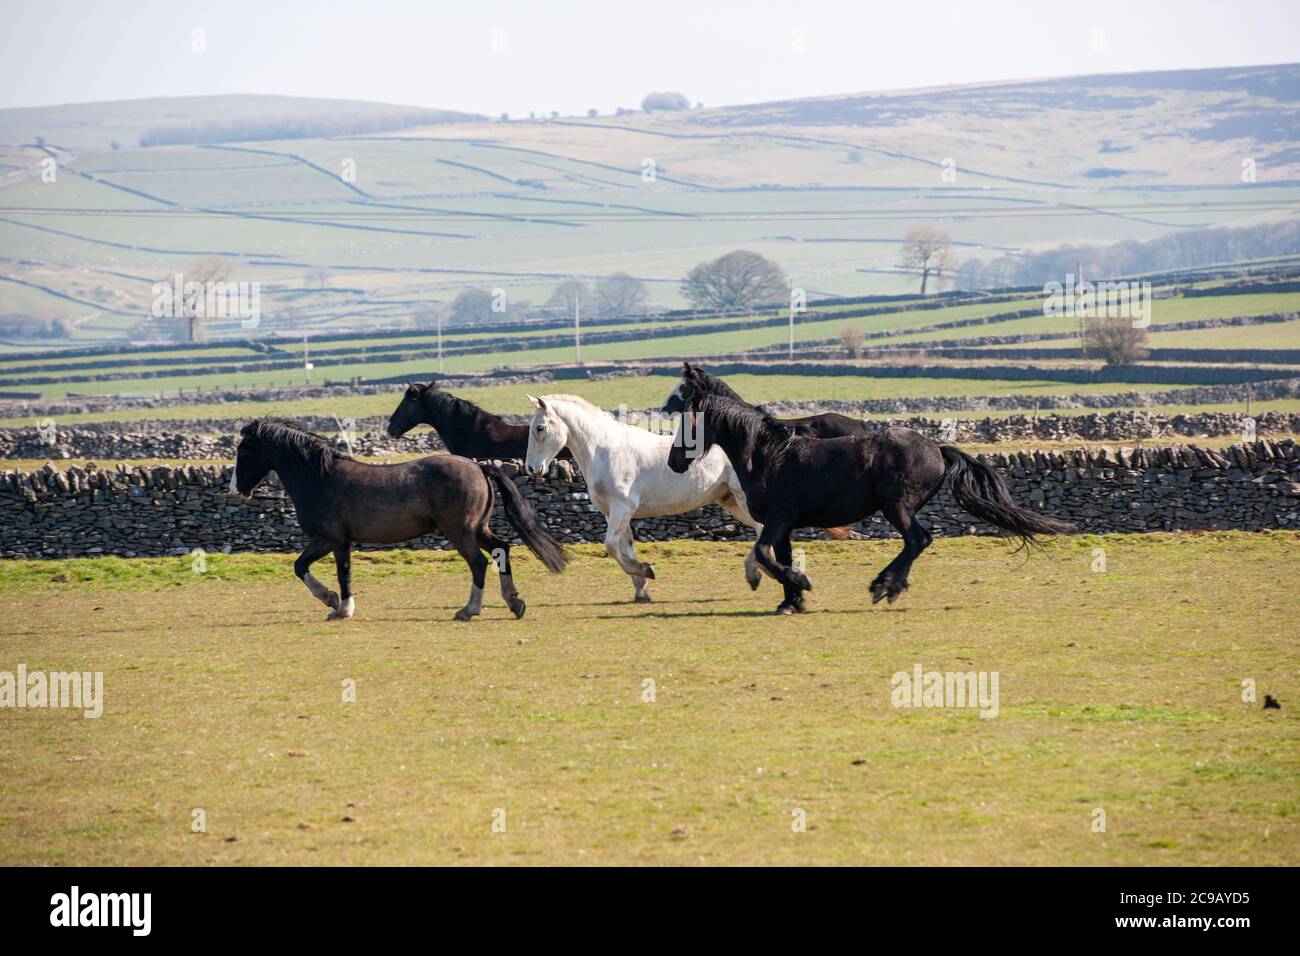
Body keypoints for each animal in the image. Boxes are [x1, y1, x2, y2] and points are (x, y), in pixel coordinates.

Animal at [230, 418, 567, 622]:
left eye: (243, 452)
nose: (237, 489)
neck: (319, 478)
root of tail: (479, 467)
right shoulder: (342, 542)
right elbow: (343, 573)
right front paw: (342, 607)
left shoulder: (326, 540)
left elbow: (301, 567)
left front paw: (331, 602)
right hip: (478, 528)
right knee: (502, 550)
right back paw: (514, 602)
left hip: (460, 532)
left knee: (479, 563)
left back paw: (469, 610)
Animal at [522, 393, 762, 602]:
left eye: (540, 428)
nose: (532, 468)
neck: (602, 451)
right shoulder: (613, 513)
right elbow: (626, 547)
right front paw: (642, 590)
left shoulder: (622, 508)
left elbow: (611, 545)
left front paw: (646, 570)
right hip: (731, 501)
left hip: (743, 500)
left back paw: (758, 575)